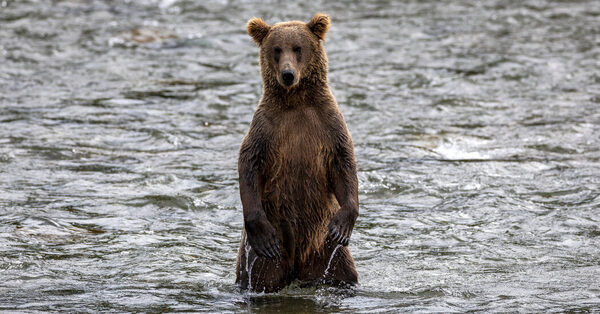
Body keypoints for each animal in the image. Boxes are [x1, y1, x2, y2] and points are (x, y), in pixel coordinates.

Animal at [233, 12, 356, 292]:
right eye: (277, 49)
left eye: (298, 48)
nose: (288, 74)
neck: (297, 101)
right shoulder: (266, 128)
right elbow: (249, 161)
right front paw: (261, 232)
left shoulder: (328, 123)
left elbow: (344, 161)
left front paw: (343, 225)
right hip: (268, 248)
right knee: (262, 273)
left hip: (324, 247)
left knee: (342, 271)